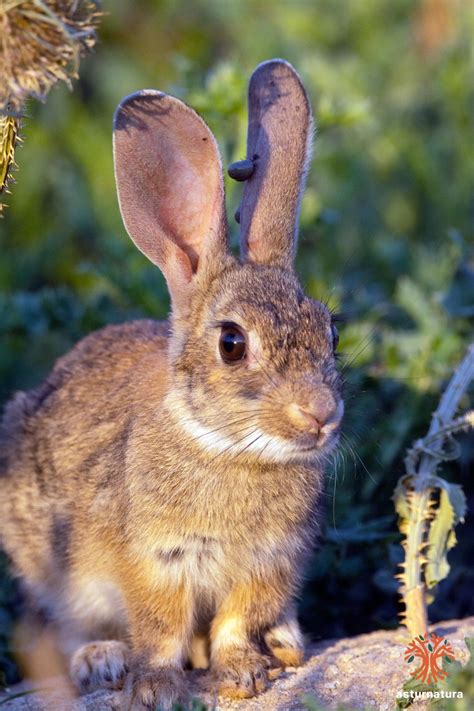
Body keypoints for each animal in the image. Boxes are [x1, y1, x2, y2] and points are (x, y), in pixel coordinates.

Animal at [0, 59, 343, 710]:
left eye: (331, 330)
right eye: (232, 344)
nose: (321, 413)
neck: (232, 451)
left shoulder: (268, 563)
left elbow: (236, 620)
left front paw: (242, 673)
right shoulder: (154, 560)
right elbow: (160, 627)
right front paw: (157, 688)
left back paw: (285, 640)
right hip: (46, 560)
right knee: (60, 628)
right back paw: (101, 659)